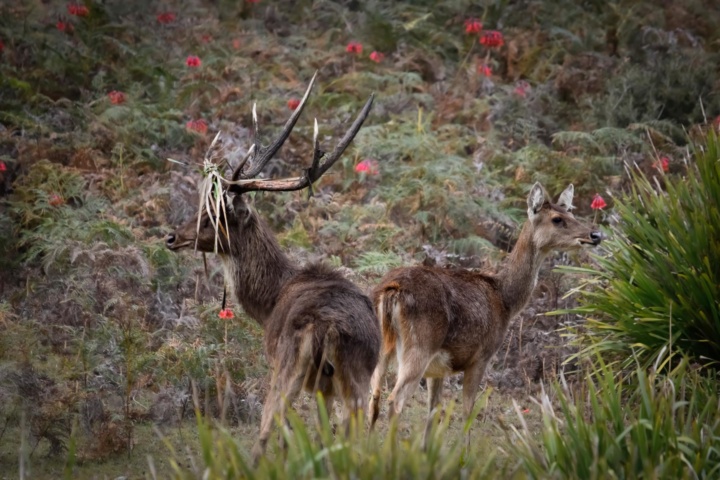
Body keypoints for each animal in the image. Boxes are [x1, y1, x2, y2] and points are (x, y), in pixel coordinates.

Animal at [165, 74, 380, 463]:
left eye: (213, 216)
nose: (171, 236)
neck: (270, 301)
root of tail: (324, 326)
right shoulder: (329, 386)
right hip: (357, 375)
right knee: (357, 435)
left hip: (287, 364)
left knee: (266, 430)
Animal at [368, 183, 602, 439]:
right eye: (557, 219)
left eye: (571, 212)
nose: (596, 235)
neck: (505, 300)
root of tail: (392, 290)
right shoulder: (482, 356)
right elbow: (467, 413)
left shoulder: (438, 369)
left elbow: (433, 414)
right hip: (420, 344)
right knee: (394, 400)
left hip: (383, 345)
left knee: (373, 397)